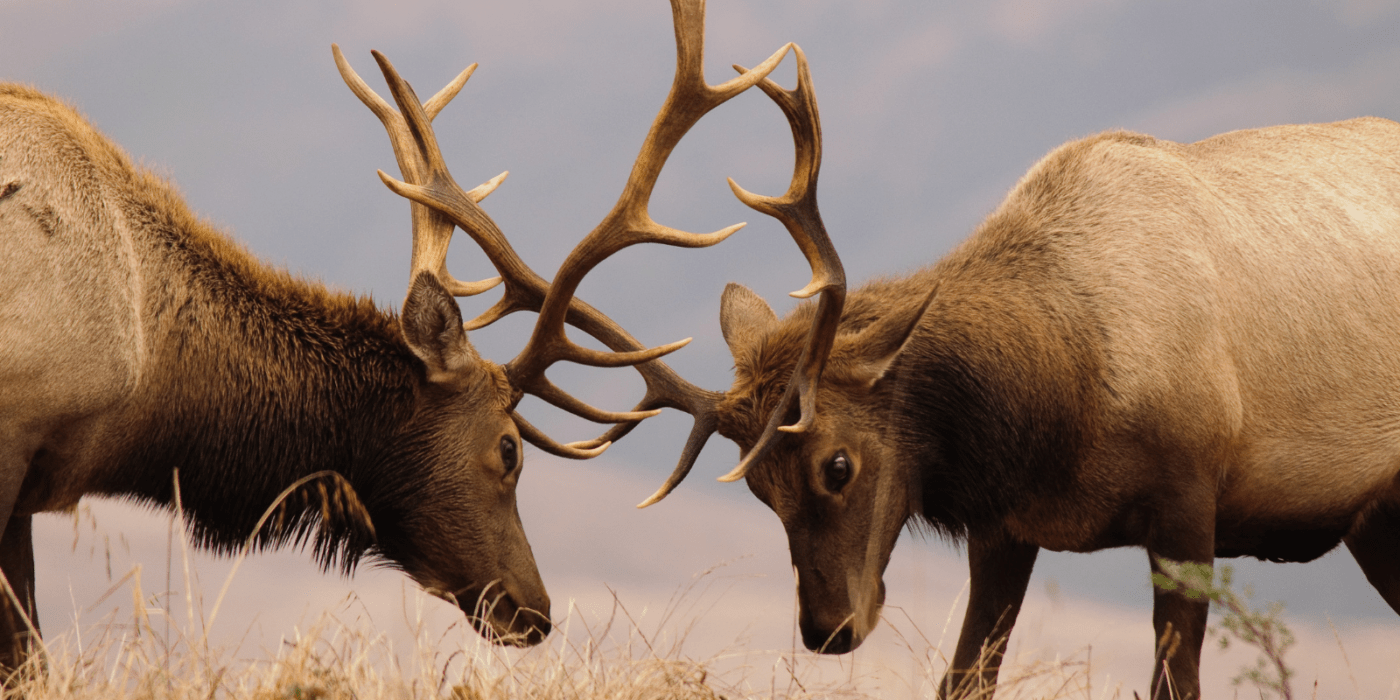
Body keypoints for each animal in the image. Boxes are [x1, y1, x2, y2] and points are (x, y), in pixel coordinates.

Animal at [595, 33, 1400, 700]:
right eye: (759, 487)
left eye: (837, 465)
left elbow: (1177, 683)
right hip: (1376, 526)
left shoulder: (1189, 498)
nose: (828, 630)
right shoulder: (1005, 528)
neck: (1065, 401)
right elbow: (965, 677)